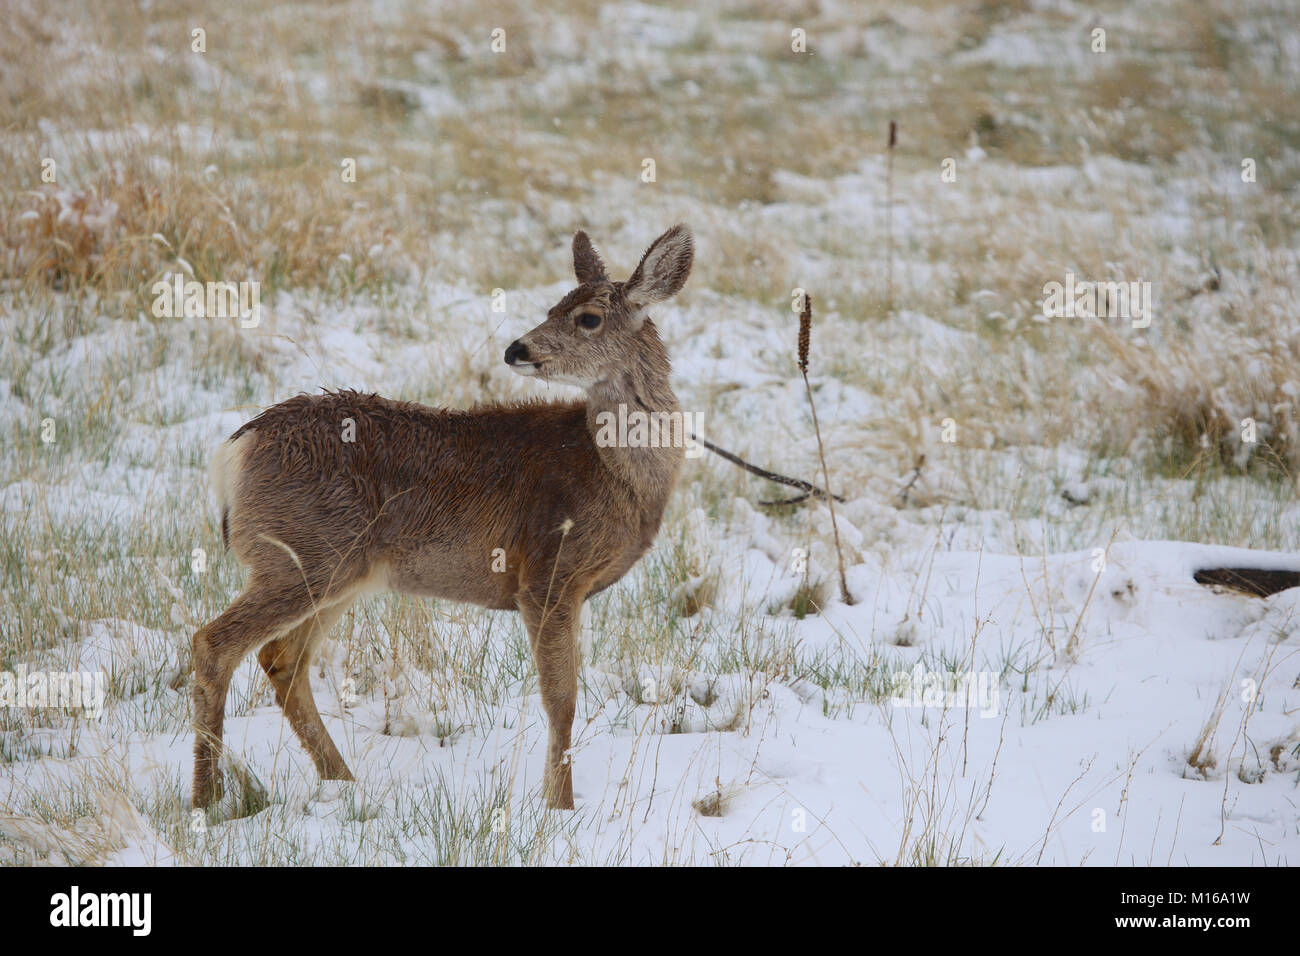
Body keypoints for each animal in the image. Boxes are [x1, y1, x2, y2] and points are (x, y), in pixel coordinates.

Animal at [191, 224, 694, 811]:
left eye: (588, 317)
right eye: (553, 307)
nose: (516, 348)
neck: (615, 474)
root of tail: (235, 451)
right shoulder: (546, 573)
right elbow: (562, 700)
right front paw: (560, 809)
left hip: (337, 569)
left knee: (281, 658)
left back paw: (342, 782)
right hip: (302, 555)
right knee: (215, 643)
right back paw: (206, 801)